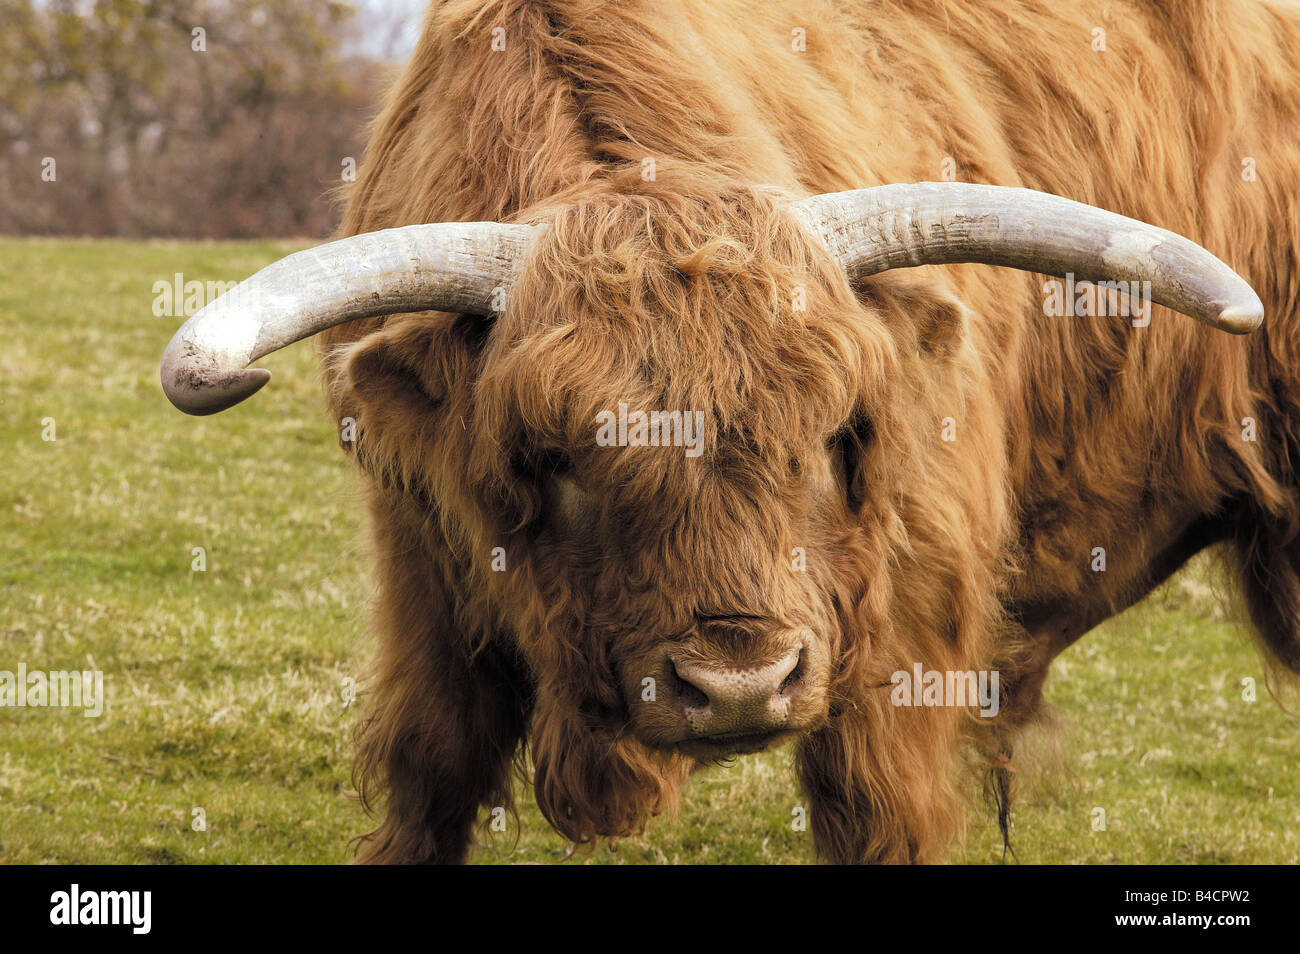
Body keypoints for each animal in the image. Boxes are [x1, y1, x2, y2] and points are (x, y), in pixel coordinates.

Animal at [160, 0, 1300, 863]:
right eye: (556, 460)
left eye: (838, 434)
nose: (741, 684)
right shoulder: (422, 561)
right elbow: (430, 767)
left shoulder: (907, 611)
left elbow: (875, 809)